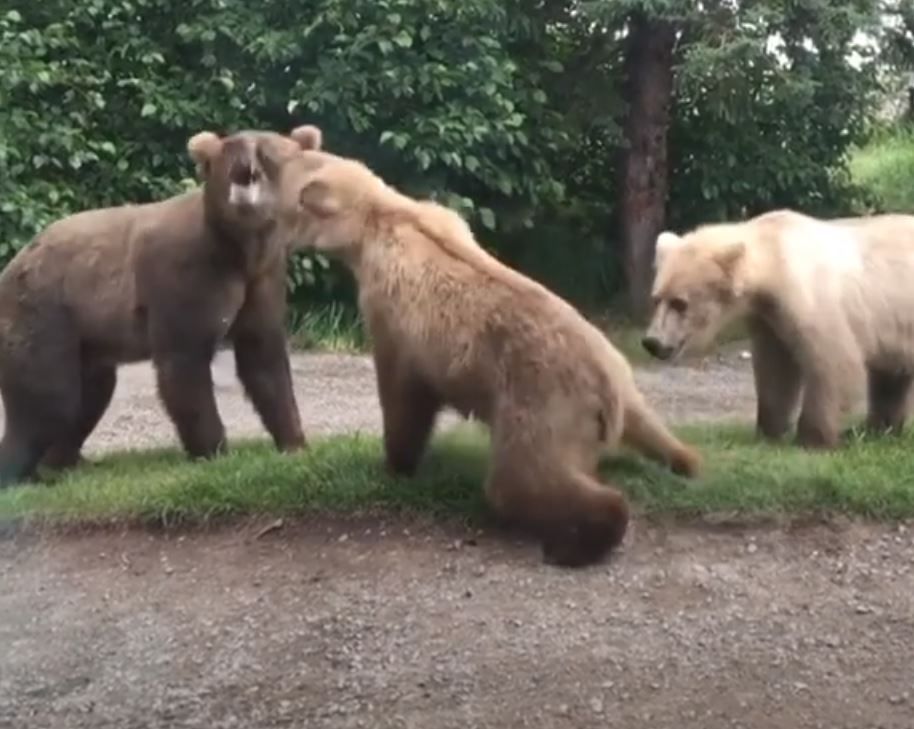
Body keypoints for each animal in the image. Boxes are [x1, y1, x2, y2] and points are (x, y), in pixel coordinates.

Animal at [0, 124, 323, 487]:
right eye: (229, 155)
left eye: (267, 154)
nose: (245, 172)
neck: (240, 249)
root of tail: (15, 262)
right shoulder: (186, 276)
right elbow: (184, 367)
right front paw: (215, 452)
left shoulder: (262, 279)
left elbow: (264, 362)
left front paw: (295, 443)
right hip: (46, 312)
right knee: (50, 399)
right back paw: (20, 471)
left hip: (88, 337)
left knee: (90, 394)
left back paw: (60, 463)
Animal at [271, 148, 702, 567]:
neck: (378, 226)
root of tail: (606, 388)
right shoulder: (446, 221)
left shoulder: (395, 312)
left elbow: (403, 394)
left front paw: (395, 463)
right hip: (621, 385)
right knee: (652, 429)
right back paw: (685, 461)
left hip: (539, 405)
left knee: (520, 481)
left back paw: (574, 542)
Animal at [642, 208, 914, 449]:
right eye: (656, 298)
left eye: (680, 303)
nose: (652, 342)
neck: (774, 264)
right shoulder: (768, 318)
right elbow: (775, 370)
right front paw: (768, 431)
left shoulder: (811, 300)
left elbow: (832, 363)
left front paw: (812, 438)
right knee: (890, 378)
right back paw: (879, 428)